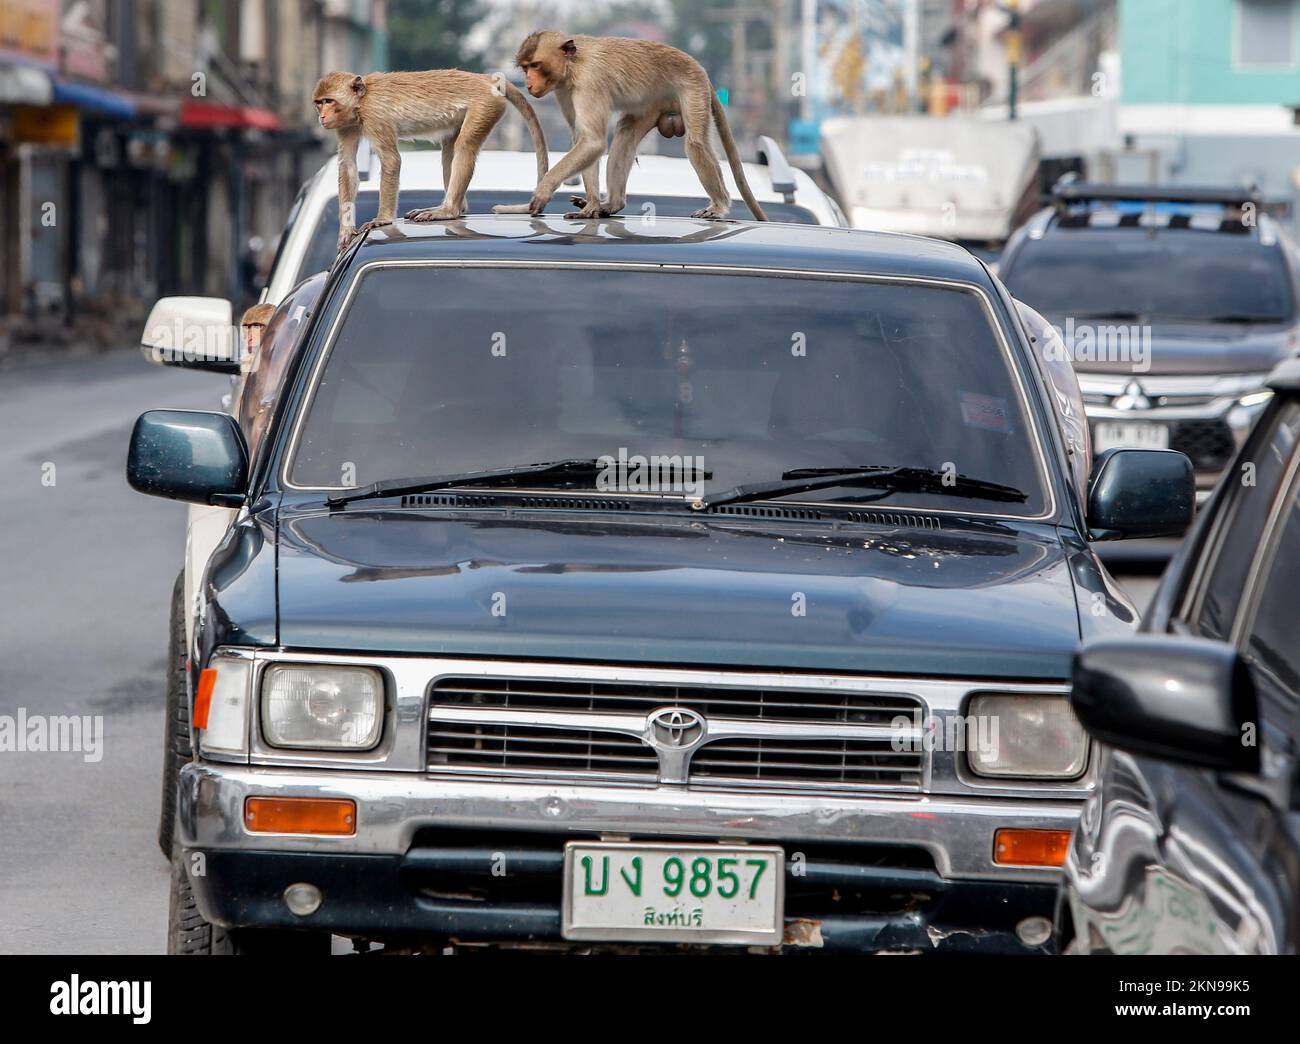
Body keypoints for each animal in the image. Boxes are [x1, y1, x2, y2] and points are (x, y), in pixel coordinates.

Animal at [313, 69, 548, 251]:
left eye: (329, 101)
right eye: (319, 103)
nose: (321, 117)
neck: (361, 102)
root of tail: (486, 79)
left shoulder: (375, 115)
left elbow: (391, 160)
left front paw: (382, 218)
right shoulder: (346, 125)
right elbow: (348, 167)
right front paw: (345, 231)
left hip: (485, 106)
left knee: (464, 146)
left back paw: (447, 210)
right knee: (449, 150)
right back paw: (455, 208)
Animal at [494, 33, 767, 223]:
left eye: (536, 65)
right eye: (525, 67)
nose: (529, 83)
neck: (574, 64)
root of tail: (699, 68)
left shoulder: (589, 82)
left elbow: (592, 141)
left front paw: (543, 190)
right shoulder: (564, 89)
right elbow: (584, 140)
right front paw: (591, 206)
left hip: (692, 86)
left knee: (696, 144)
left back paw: (719, 206)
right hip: (654, 101)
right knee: (626, 132)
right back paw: (612, 205)